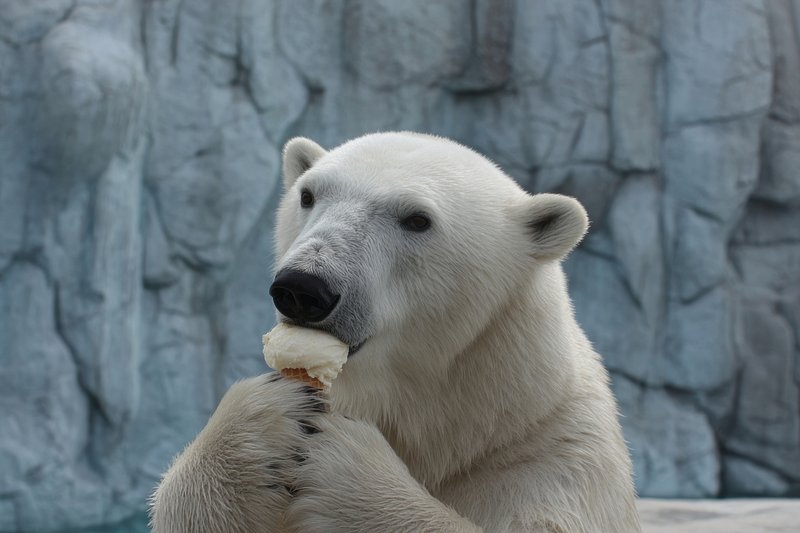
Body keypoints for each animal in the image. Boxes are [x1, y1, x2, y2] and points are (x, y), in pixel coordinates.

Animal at [150, 132, 641, 532]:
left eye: (417, 219)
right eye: (308, 194)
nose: (304, 288)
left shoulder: (554, 456)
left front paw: (346, 469)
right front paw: (264, 418)